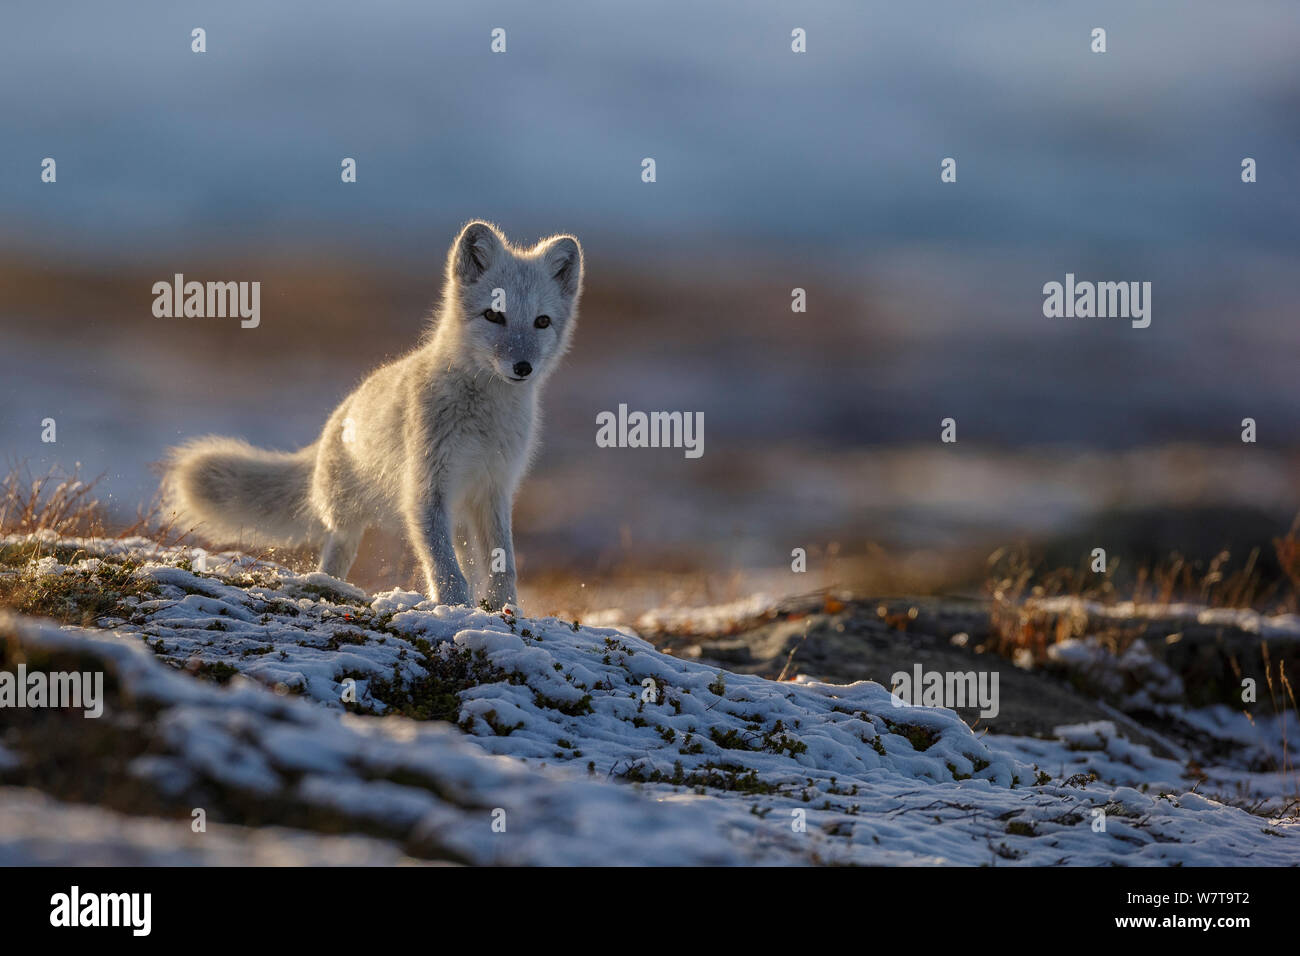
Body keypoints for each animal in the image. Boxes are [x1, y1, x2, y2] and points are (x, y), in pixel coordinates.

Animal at [164, 221, 583, 608]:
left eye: (542, 322)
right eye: (494, 316)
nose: (523, 367)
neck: (484, 417)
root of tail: (337, 417)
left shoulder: (494, 487)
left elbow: (502, 563)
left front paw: (504, 609)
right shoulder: (425, 488)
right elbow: (443, 563)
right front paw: (454, 607)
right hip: (347, 516)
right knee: (337, 550)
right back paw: (328, 585)